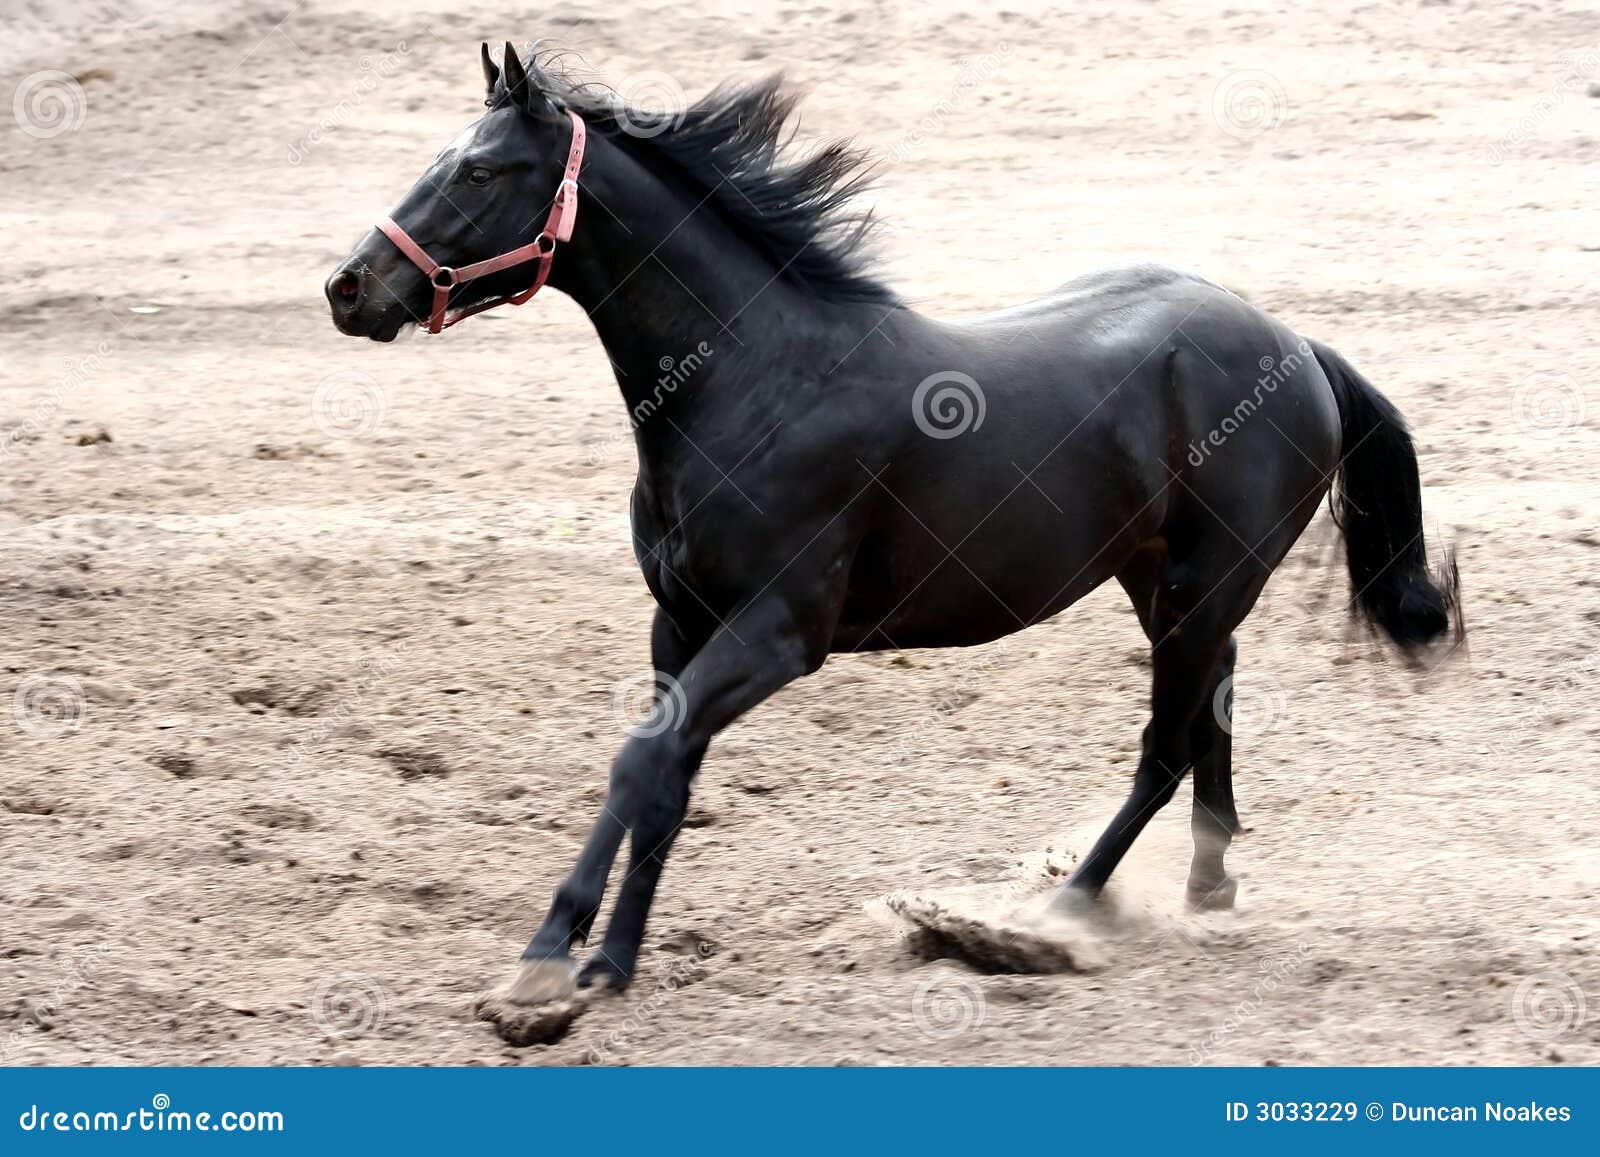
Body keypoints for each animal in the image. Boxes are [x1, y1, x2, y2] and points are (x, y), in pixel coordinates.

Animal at [325, 43, 1460, 1020]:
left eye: (479, 171)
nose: (350, 287)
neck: (756, 379)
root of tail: (1296, 347)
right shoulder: (679, 623)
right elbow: (667, 779)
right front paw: (611, 960)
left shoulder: (780, 633)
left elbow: (641, 762)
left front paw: (545, 964)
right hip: (1167, 586)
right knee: (1212, 713)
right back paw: (1205, 887)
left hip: (1203, 586)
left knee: (1168, 745)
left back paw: (1054, 914)